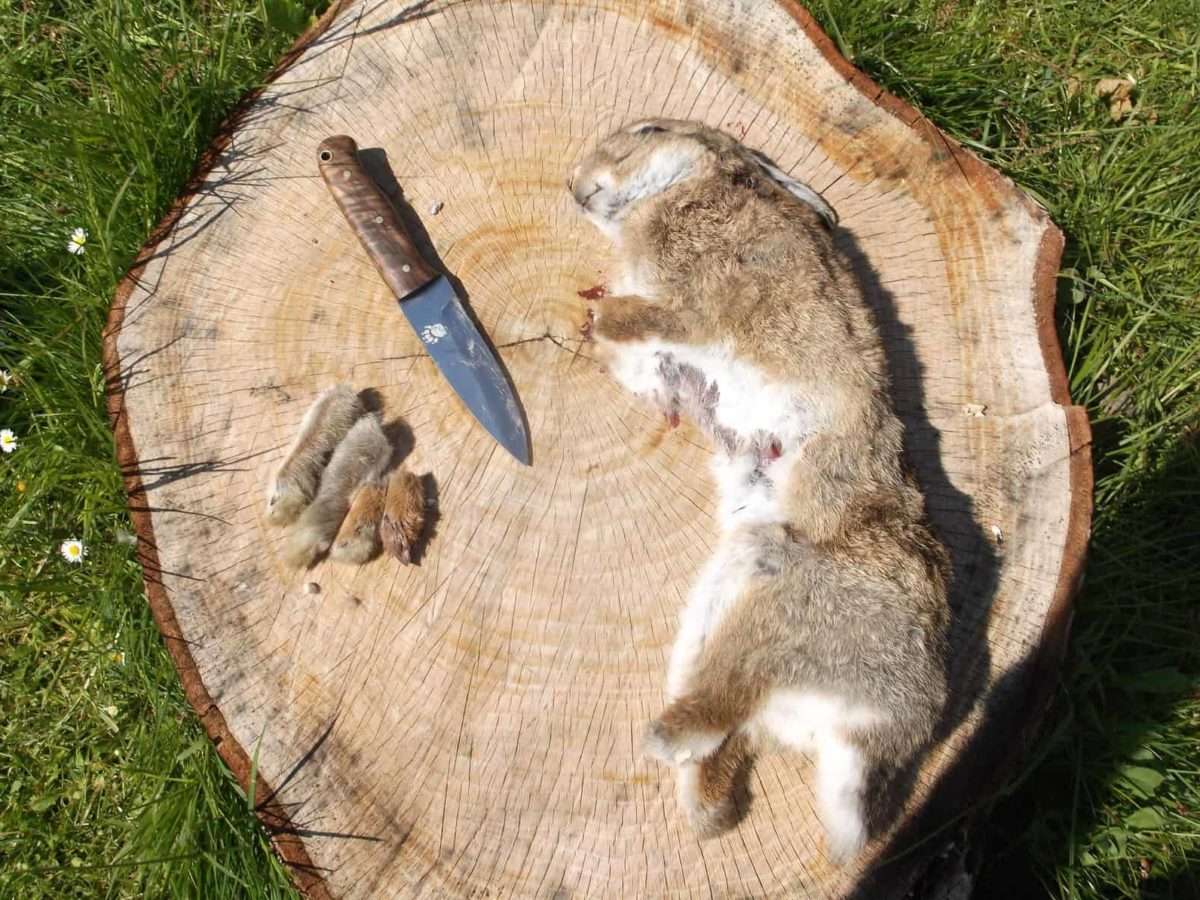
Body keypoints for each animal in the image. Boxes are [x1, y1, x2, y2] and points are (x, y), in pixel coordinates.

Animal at [568, 118, 950, 861]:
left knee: (724, 704)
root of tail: (869, 729)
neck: (690, 185)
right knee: (729, 740)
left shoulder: (699, 302)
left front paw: (604, 315)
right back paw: (700, 798)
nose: (577, 187)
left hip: (782, 594)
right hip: (726, 602)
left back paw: (662, 738)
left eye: (647, 131)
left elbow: (658, 319)